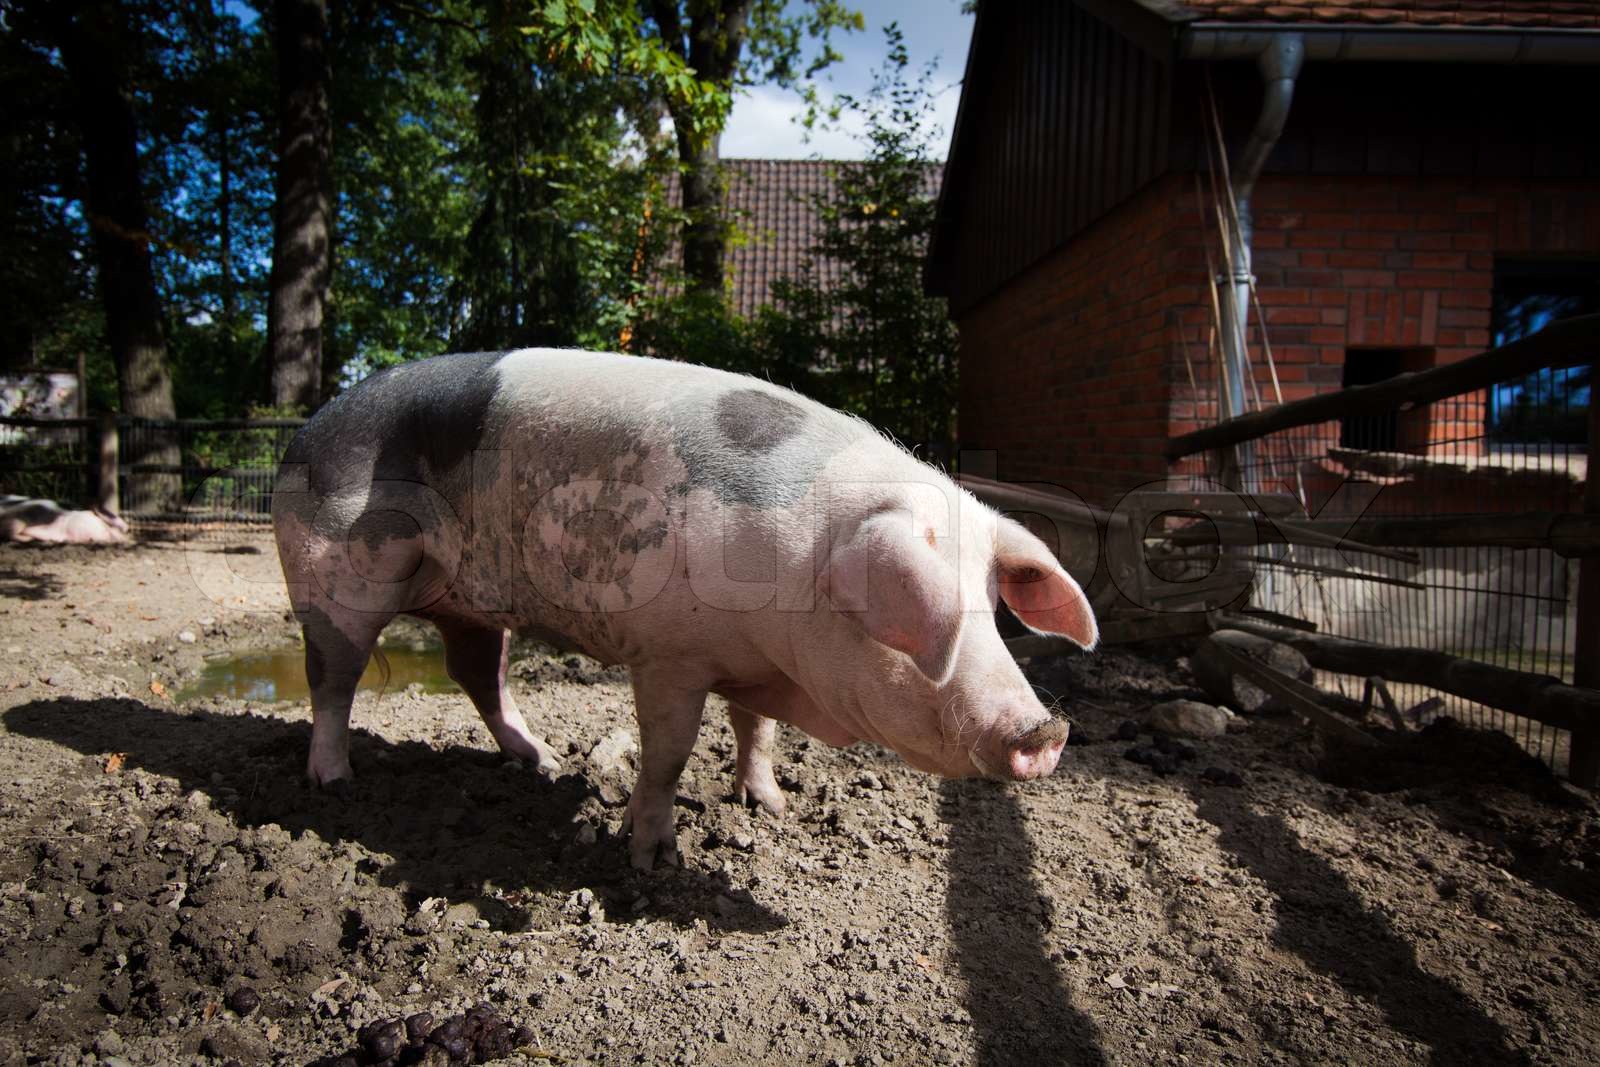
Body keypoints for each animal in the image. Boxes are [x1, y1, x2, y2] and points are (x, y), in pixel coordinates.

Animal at [272, 350, 1097, 869]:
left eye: (992, 609)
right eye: (923, 620)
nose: (1047, 729)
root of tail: (308, 427)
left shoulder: (751, 664)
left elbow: (757, 731)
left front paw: (771, 806)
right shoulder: (669, 655)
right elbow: (669, 752)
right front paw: (653, 859)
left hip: (471, 604)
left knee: (475, 671)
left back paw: (542, 762)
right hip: (332, 575)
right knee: (332, 678)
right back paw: (335, 783)